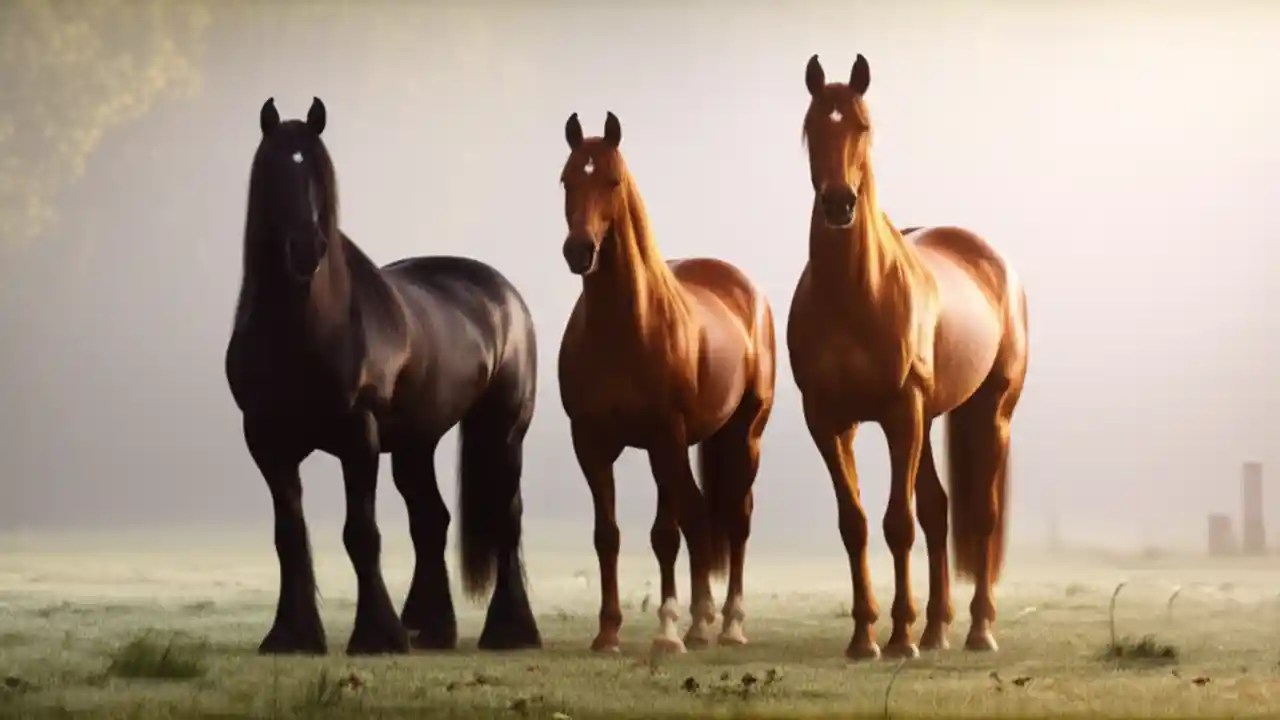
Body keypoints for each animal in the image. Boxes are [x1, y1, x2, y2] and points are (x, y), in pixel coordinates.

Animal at [225, 97, 541, 656]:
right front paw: (291, 634)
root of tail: (508, 299)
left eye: (318, 173)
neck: (304, 330)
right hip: (416, 444)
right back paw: (432, 627)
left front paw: (377, 634)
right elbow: (289, 536)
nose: (306, 248)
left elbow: (361, 533)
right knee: (431, 520)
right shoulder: (266, 441)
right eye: (274, 171)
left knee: (506, 516)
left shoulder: (359, 437)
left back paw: (509, 630)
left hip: (503, 432)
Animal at [556, 112, 776, 654]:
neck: (625, 327)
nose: (579, 251)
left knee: (734, 519)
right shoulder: (590, 444)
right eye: (567, 180)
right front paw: (608, 632)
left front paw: (673, 630)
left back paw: (728, 624)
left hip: (740, 435)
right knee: (689, 520)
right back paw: (704, 620)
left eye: (613, 180)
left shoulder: (664, 436)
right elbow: (609, 534)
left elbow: (675, 530)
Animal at [787, 55, 1029, 660]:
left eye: (863, 125)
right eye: (811, 127)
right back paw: (938, 627)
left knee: (981, 516)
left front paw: (898, 638)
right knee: (939, 511)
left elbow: (898, 523)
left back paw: (979, 629)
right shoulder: (829, 420)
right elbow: (855, 523)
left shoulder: (901, 412)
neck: (856, 292)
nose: (839, 204)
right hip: (931, 417)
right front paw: (864, 637)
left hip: (989, 411)